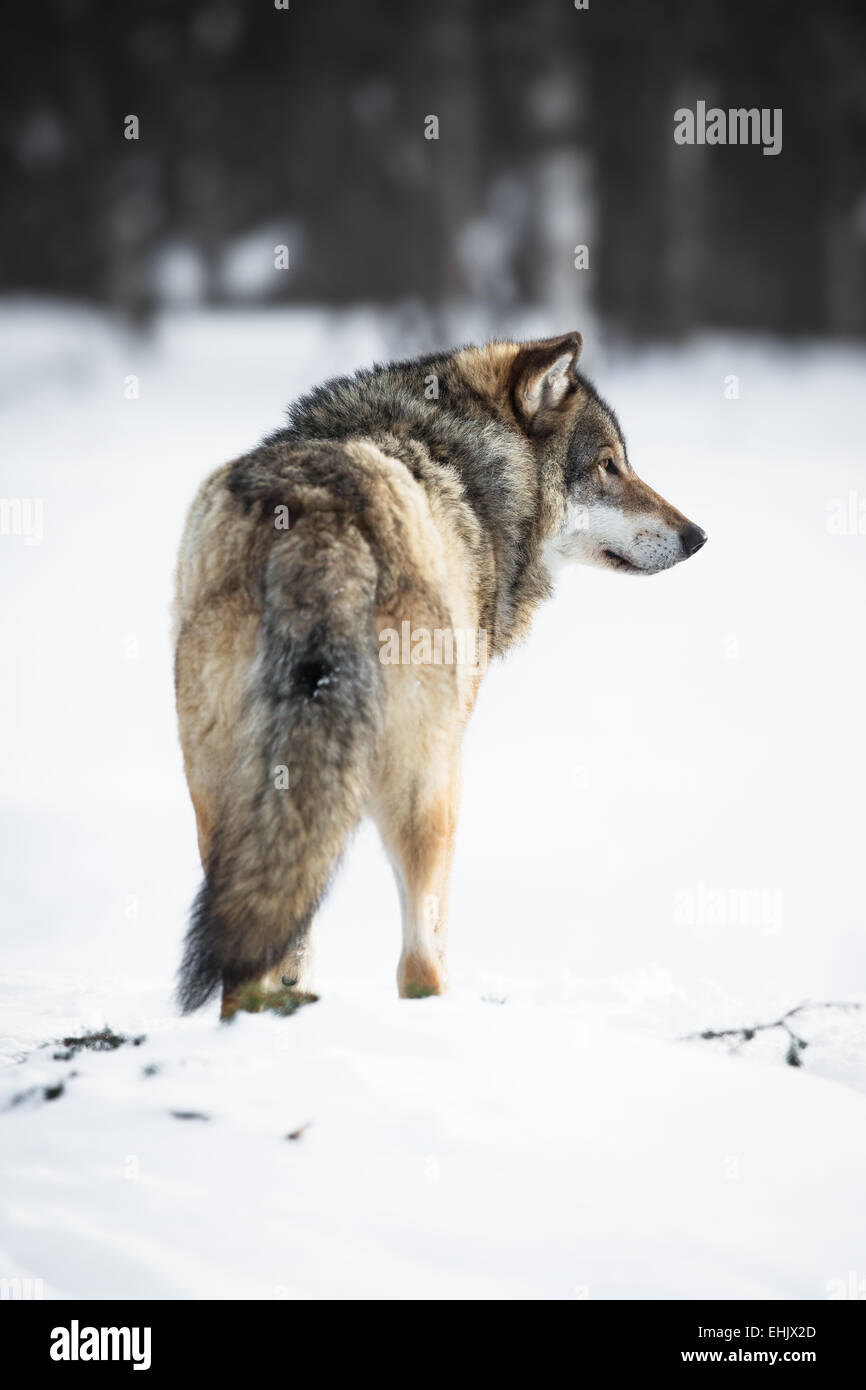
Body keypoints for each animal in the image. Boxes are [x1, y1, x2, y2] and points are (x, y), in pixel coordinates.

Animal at [174, 332, 706, 1015]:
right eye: (609, 465)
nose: (697, 536)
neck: (469, 461)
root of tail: (316, 514)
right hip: (430, 786)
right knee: (419, 965)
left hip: (223, 793)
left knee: (248, 953)